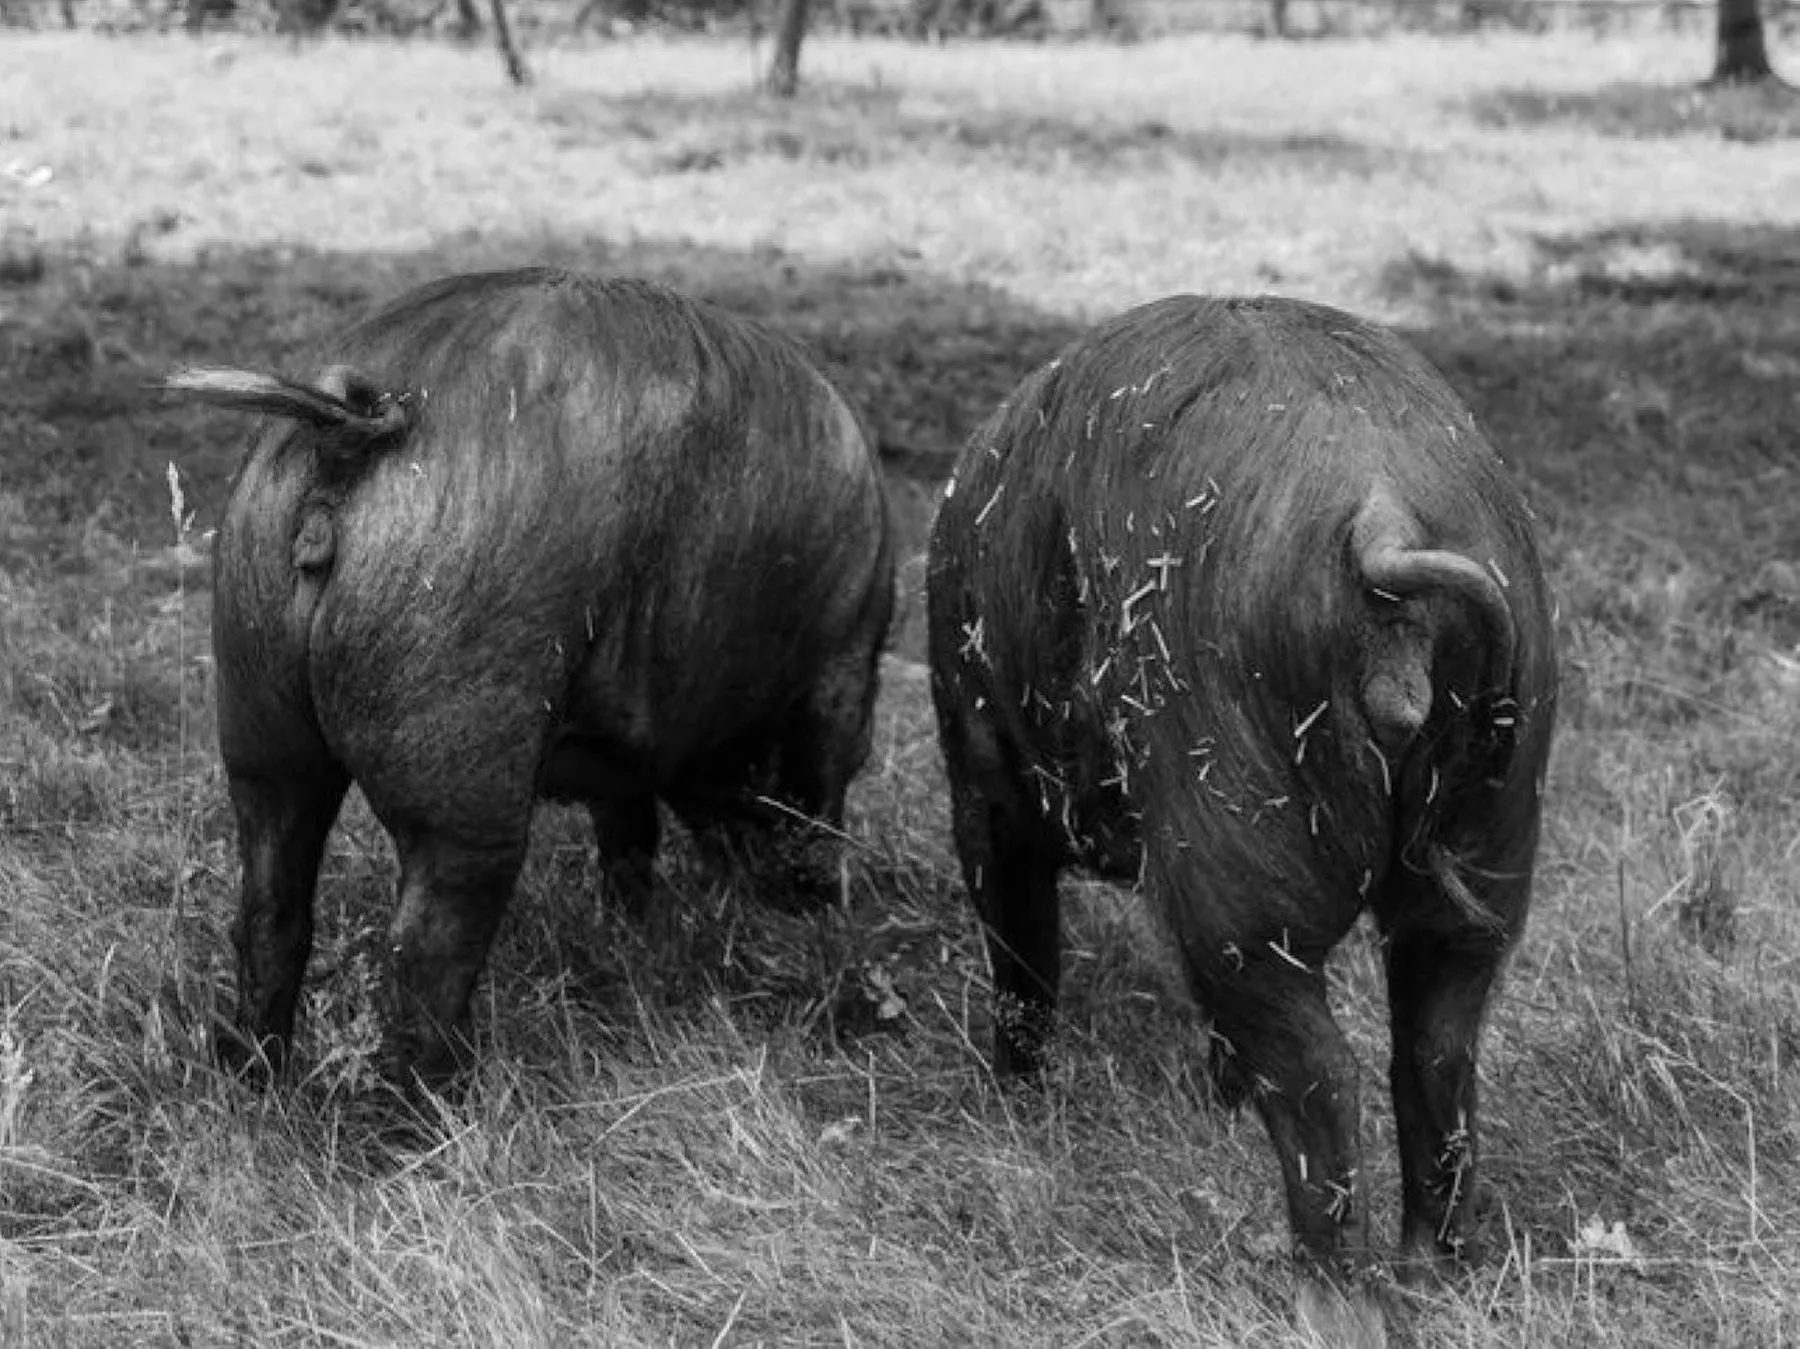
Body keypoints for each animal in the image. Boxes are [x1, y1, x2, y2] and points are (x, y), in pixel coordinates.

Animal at [164, 268, 896, 1089]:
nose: (771, 895)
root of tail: (361, 420)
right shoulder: (840, 665)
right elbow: (818, 793)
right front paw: (821, 898)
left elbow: (628, 829)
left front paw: (631, 922)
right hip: (463, 735)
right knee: (424, 947)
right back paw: (443, 1098)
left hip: (255, 705)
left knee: (269, 905)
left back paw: (254, 1078)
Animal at [926, 295, 1557, 1284]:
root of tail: (1382, 513)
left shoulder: (980, 771)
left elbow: (1017, 937)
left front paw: (1015, 1102)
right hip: (1500, 815)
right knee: (1438, 1039)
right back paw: (1430, 1266)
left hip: (1231, 821)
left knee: (1316, 1063)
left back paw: (1323, 1283)